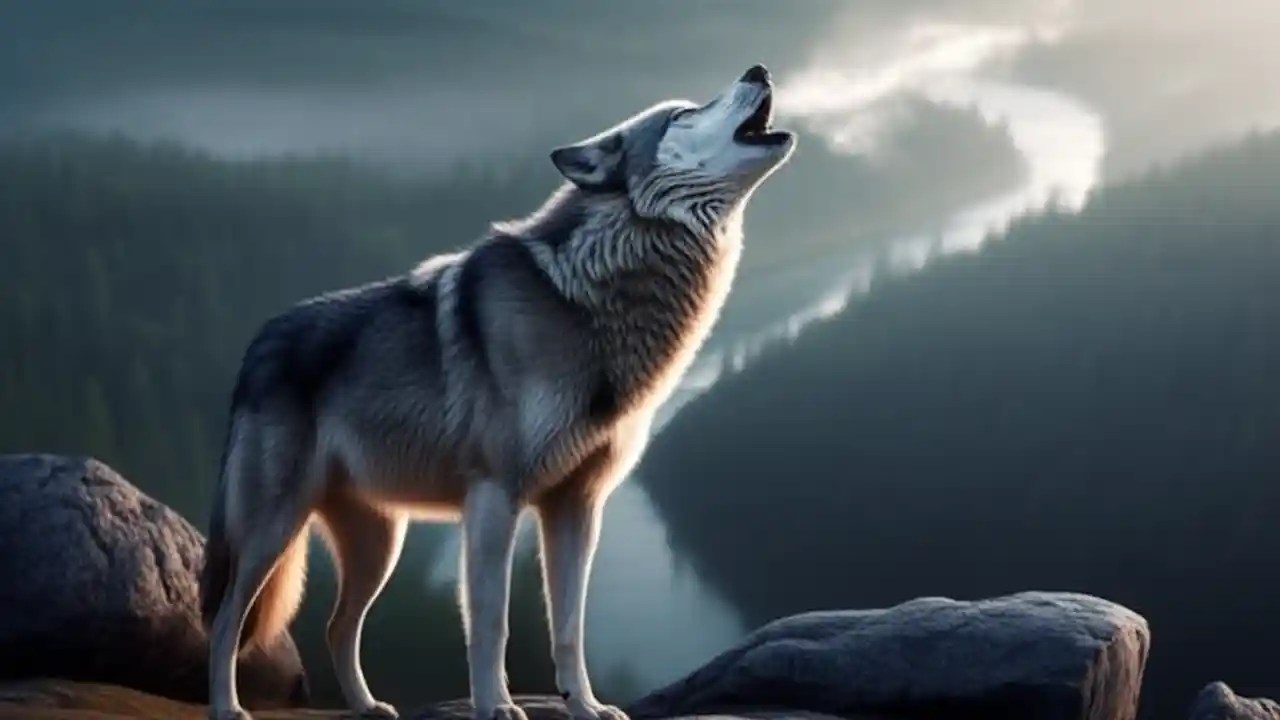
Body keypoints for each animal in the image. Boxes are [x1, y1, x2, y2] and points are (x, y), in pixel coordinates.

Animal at [200, 65, 793, 720]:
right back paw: (228, 706)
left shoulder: (577, 507)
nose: (759, 70)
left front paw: (586, 706)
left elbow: (569, 627)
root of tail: (257, 343)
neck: (593, 293)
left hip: (381, 544)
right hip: (272, 531)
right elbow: (491, 622)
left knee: (336, 626)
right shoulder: (494, 498)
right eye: (684, 114)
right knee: (227, 618)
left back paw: (367, 705)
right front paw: (497, 705)